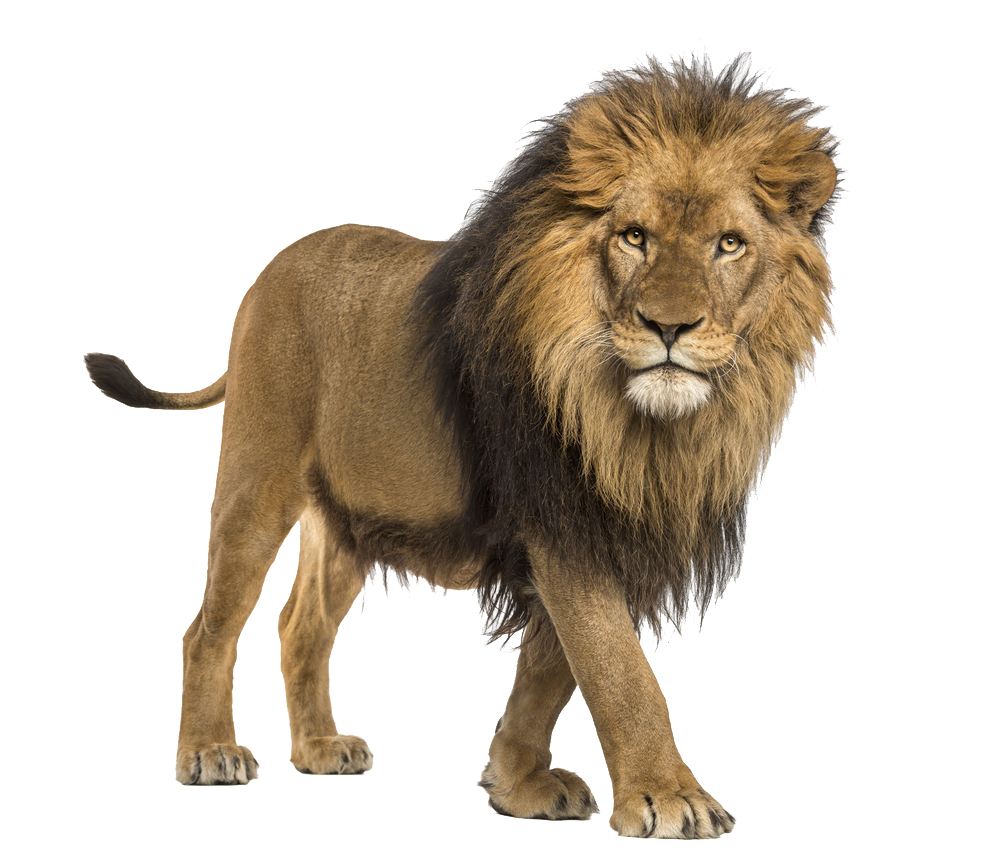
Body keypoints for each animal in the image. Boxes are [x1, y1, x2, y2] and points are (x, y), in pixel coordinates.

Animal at [84, 54, 840, 839]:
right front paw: (669, 796)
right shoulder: (561, 518)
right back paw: (208, 753)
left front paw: (516, 783)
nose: (670, 327)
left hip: (350, 520)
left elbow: (550, 671)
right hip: (256, 483)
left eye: (730, 244)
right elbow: (619, 671)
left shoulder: (603, 528)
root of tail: (272, 269)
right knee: (207, 627)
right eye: (634, 236)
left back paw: (320, 748)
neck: (645, 426)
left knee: (301, 626)